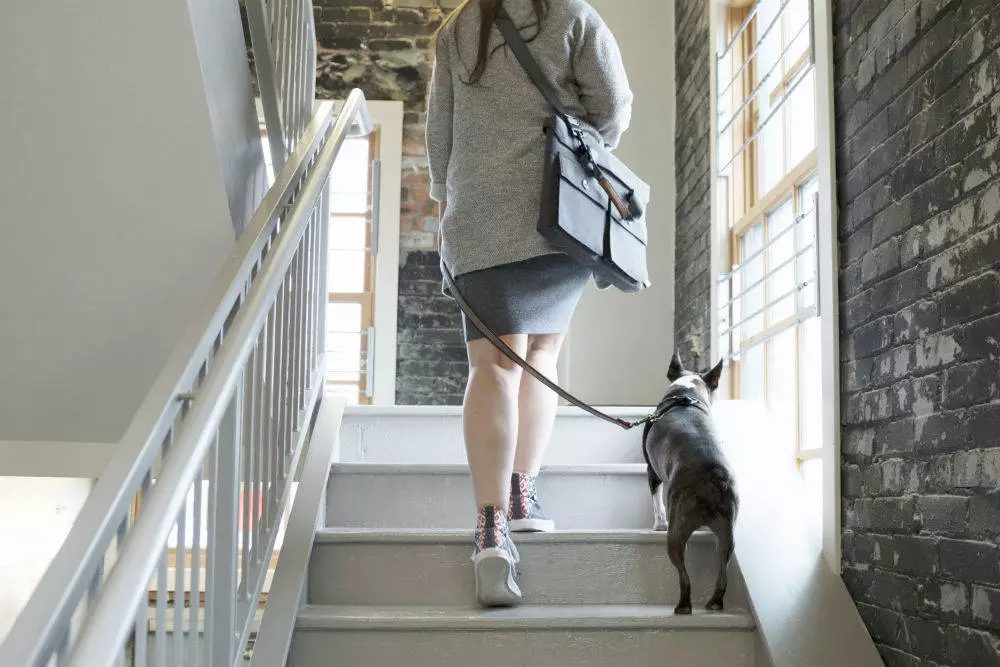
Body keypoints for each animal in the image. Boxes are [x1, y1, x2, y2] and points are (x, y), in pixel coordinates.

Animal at [644, 354, 740, 616]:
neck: (685, 394)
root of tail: (712, 474)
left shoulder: (652, 472)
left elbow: (656, 501)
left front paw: (658, 524)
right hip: (727, 533)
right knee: (723, 571)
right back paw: (715, 602)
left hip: (676, 533)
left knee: (684, 575)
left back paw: (683, 606)